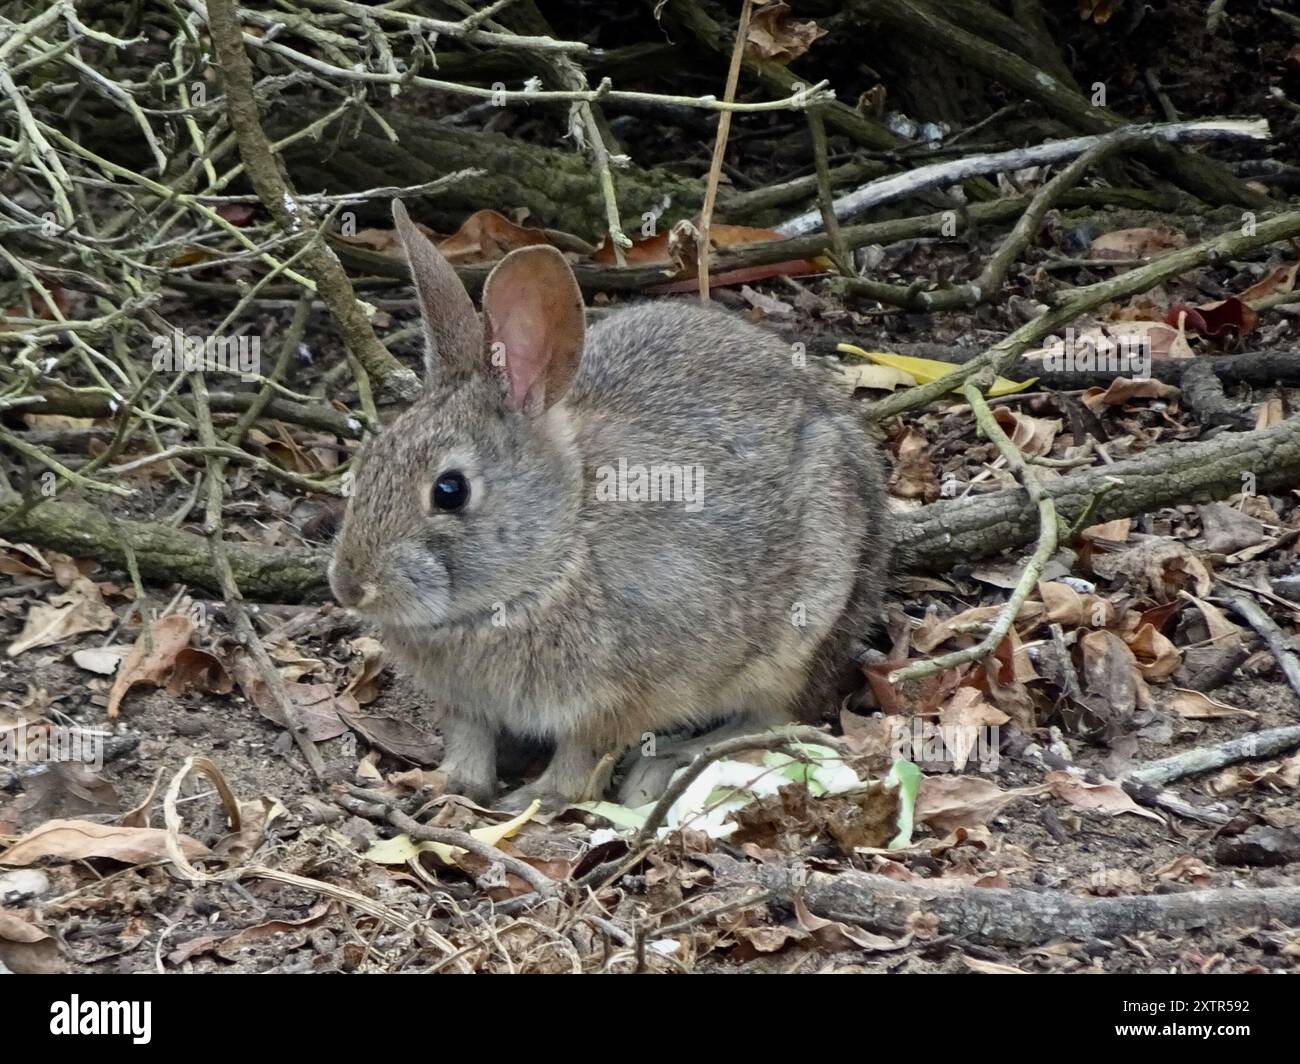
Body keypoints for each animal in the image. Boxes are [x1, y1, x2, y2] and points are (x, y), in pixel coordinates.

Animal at [329, 199, 891, 809]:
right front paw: (452, 786)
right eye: (370, 458)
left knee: (774, 717)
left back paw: (671, 761)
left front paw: (536, 800)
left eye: (449, 491)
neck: (556, 554)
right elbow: (470, 740)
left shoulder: (616, 697)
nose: (349, 586)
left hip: (801, 629)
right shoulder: (465, 704)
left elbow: (582, 755)